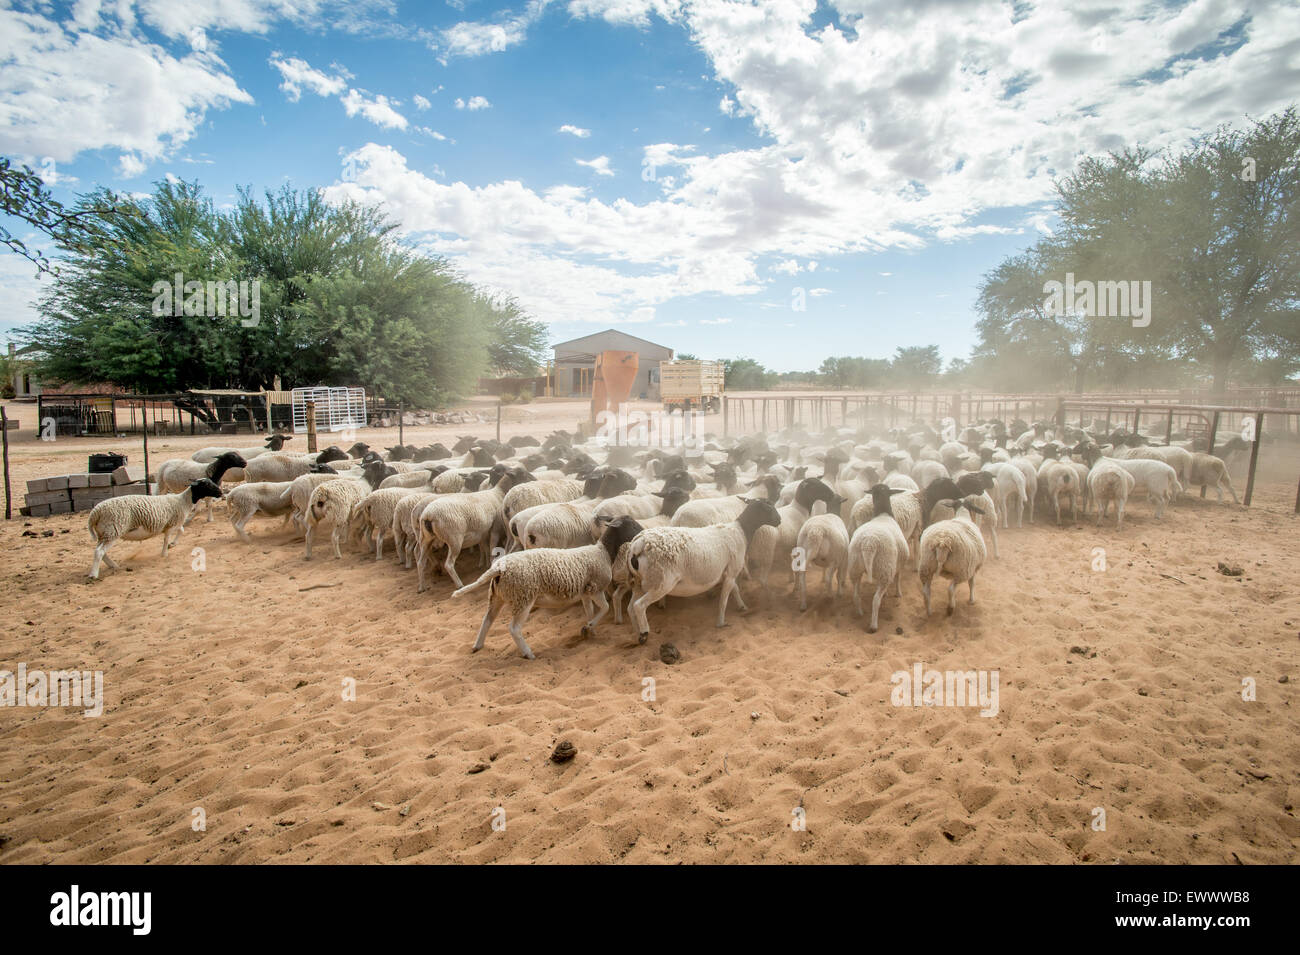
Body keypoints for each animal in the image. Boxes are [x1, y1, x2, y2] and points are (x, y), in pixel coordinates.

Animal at [87, 479, 223, 579]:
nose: (221, 493)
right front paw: (164, 553)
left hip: (104, 533)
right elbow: (167, 538)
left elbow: (181, 531)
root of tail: (95, 513)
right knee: (99, 552)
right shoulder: (171, 524)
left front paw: (173, 544)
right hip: (113, 530)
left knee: (100, 551)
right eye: (207, 485)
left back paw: (113, 565)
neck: (183, 501)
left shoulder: (174, 523)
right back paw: (93, 575)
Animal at [453, 518, 645, 659]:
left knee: (487, 620)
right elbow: (604, 608)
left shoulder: (585, 591)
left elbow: (590, 611)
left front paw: (589, 631)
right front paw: (589, 627)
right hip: (523, 597)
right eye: (632, 524)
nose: (642, 532)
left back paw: (477, 646)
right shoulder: (596, 588)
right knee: (513, 628)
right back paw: (528, 653)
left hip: (496, 596)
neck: (603, 551)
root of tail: (500, 567)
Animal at [626, 498, 781, 642]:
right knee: (639, 606)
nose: (779, 520)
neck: (741, 531)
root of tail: (638, 545)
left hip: (639, 583)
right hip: (660, 582)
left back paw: (636, 633)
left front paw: (742, 606)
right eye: (768, 506)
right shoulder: (732, 572)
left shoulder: (727, 573)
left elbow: (735, 590)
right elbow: (724, 600)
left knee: (630, 608)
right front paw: (721, 622)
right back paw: (644, 633)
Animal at [845, 485, 911, 632]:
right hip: (885, 568)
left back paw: (860, 613)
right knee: (875, 600)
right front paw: (898, 593)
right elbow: (898, 578)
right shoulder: (899, 564)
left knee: (856, 595)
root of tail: (868, 544)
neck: (883, 514)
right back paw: (873, 625)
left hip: (855, 568)